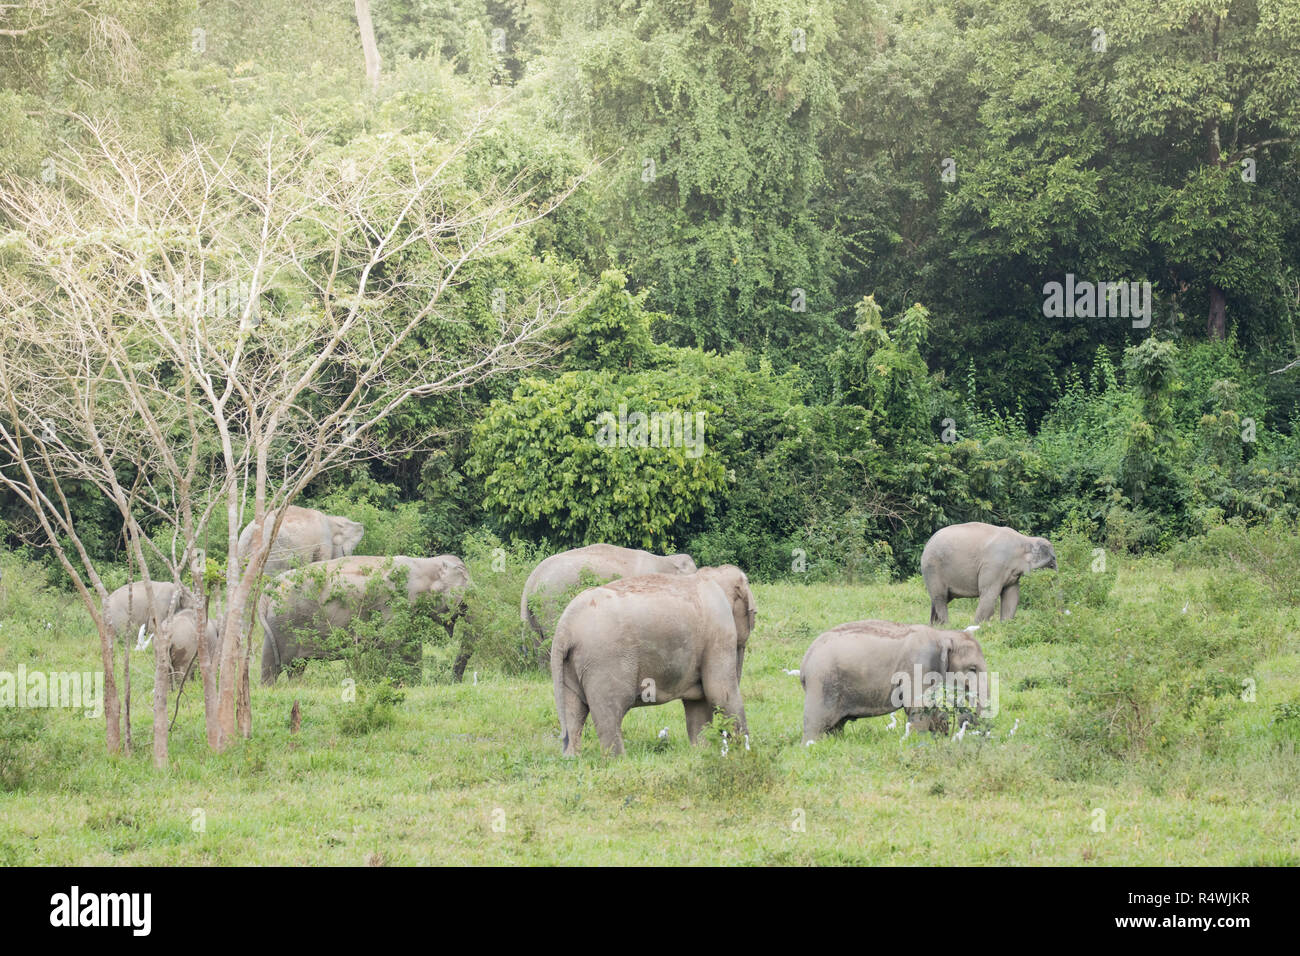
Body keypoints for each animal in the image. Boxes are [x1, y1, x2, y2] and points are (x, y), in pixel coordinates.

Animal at [237, 505, 365, 576]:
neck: (331, 520)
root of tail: (248, 533)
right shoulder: (324, 540)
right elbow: (322, 560)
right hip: (273, 552)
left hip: (242, 551)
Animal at [259, 555, 471, 684]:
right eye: (464, 601)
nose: (454, 681)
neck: (425, 563)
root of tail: (266, 592)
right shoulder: (394, 604)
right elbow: (393, 643)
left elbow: (410, 645)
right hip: (283, 625)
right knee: (275, 667)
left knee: (292, 667)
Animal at [550, 564, 756, 756]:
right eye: (753, 614)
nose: (724, 735)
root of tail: (564, 630)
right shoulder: (719, 631)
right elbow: (719, 692)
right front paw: (744, 751)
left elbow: (698, 703)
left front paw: (702, 752)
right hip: (603, 662)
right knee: (610, 711)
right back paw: (619, 760)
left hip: (570, 665)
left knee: (573, 711)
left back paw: (572, 757)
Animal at [800, 619, 987, 743]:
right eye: (972, 669)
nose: (966, 720)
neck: (942, 635)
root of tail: (805, 660)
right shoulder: (919, 665)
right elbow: (919, 705)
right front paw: (918, 741)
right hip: (822, 684)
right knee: (817, 724)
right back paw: (811, 745)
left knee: (836, 725)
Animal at [920, 522, 1057, 625]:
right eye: (1053, 559)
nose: (1055, 574)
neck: (1025, 539)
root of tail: (928, 542)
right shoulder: (994, 565)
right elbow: (988, 593)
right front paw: (978, 626)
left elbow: (1012, 595)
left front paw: (1005, 625)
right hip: (933, 569)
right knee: (940, 597)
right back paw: (946, 626)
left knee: (939, 598)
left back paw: (934, 626)